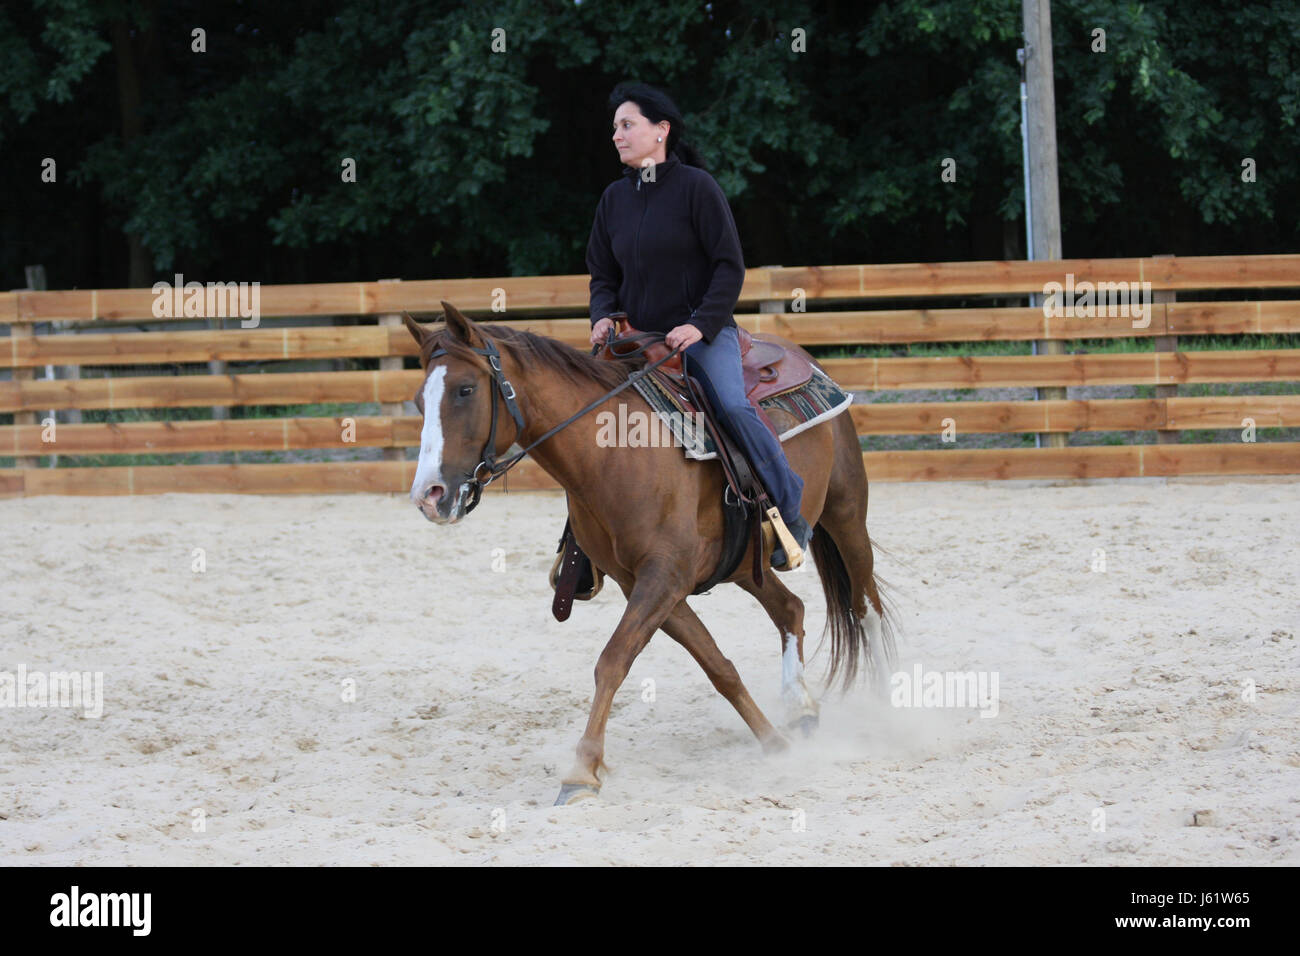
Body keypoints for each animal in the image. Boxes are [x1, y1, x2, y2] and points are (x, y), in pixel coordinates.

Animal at [404, 301, 894, 805]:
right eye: (420, 401)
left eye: (465, 390)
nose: (429, 495)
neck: (615, 451)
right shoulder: (646, 585)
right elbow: (718, 666)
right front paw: (774, 743)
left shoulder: (664, 578)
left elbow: (612, 661)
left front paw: (581, 771)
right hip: (746, 564)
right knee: (791, 608)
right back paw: (800, 706)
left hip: (846, 513)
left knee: (866, 606)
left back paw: (883, 710)